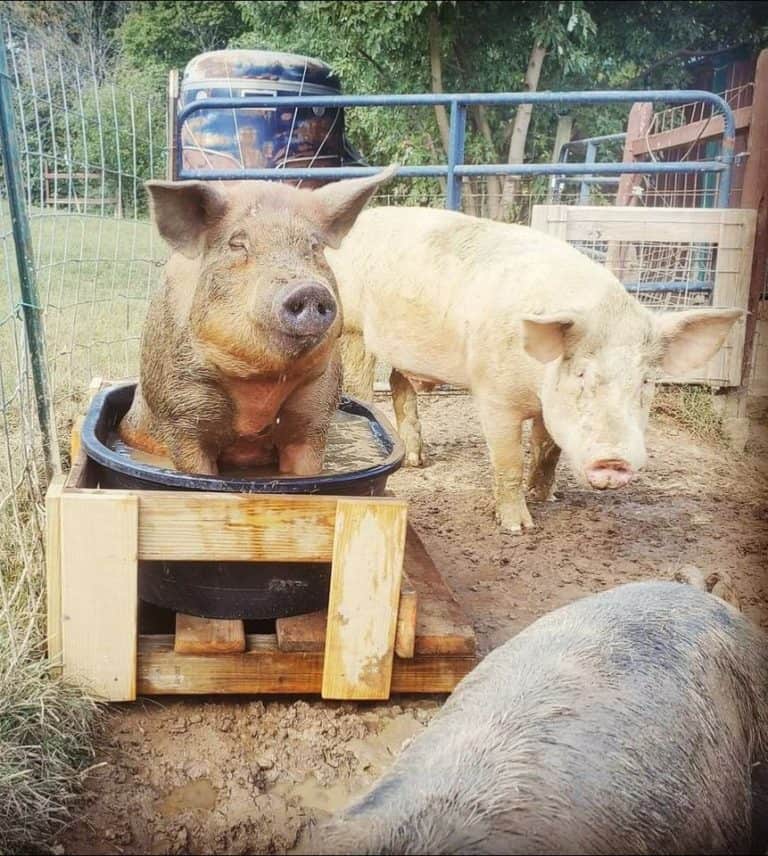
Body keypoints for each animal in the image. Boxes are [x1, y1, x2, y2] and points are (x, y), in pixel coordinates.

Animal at [119, 167, 396, 475]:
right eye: (237, 244)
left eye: (315, 246)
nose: (309, 289)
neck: (261, 386)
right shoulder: (182, 410)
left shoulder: (316, 407)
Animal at [328, 207, 743, 532]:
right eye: (581, 375)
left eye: (645, 381)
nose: (614, 461)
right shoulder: (494, 396)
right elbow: (508, 458)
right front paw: (518, 527)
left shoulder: (548, 405)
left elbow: (547, 448)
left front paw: (547, 497)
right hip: (354, 328)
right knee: (364, 384)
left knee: (400, 385)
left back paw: (418, 460)